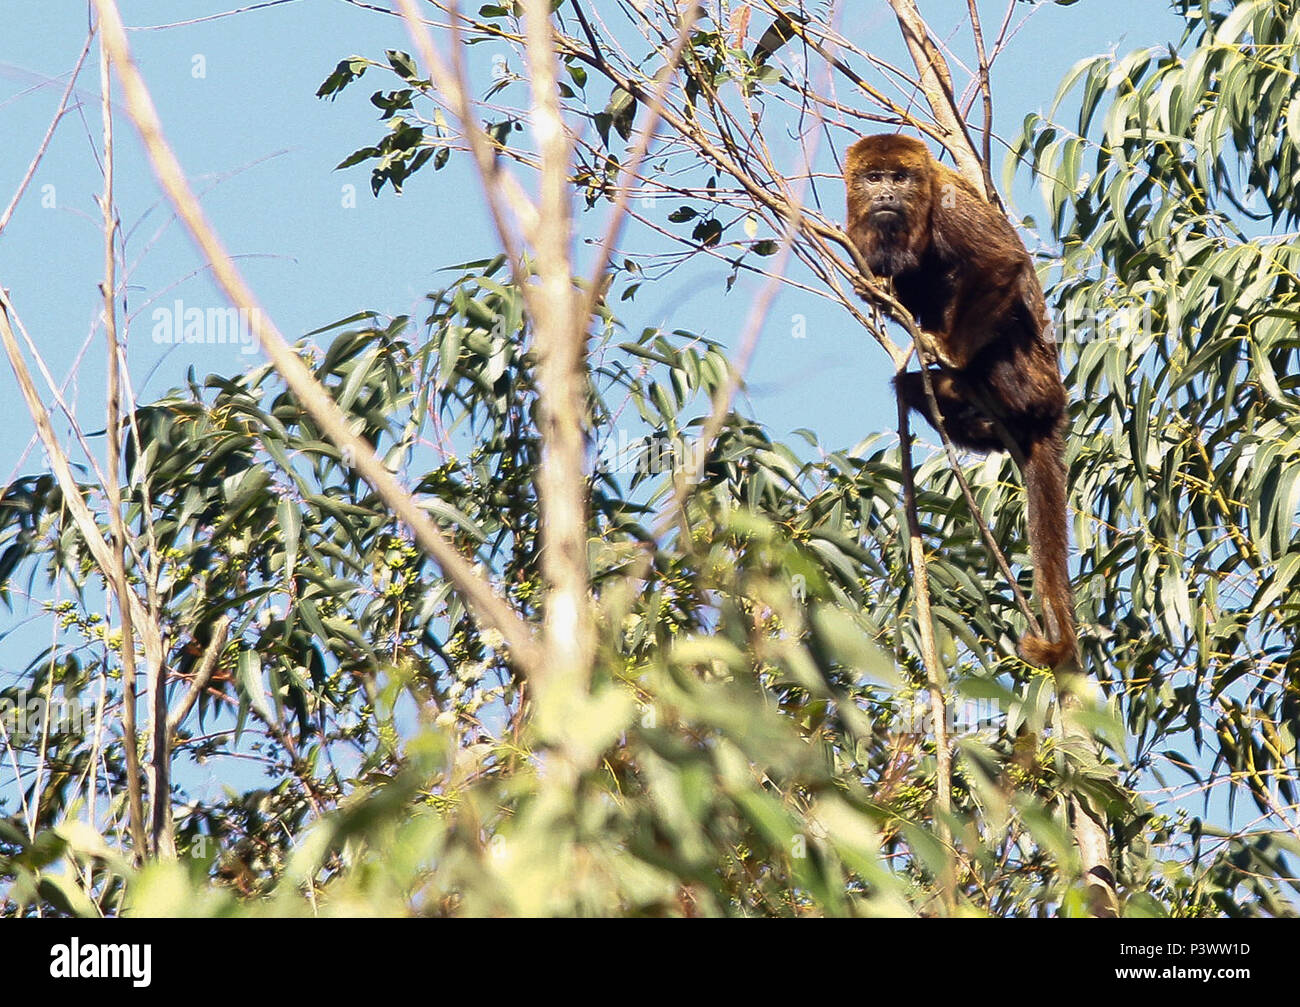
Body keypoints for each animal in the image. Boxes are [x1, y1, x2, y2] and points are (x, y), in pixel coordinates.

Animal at [844, 133, 1076, 668]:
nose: (886, 195)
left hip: (1032, 378)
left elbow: (1002, 262)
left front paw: (949, 349)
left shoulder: (949, 206)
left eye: (900, 177)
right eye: (873, 177)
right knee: (910, 385)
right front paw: (879, 288)